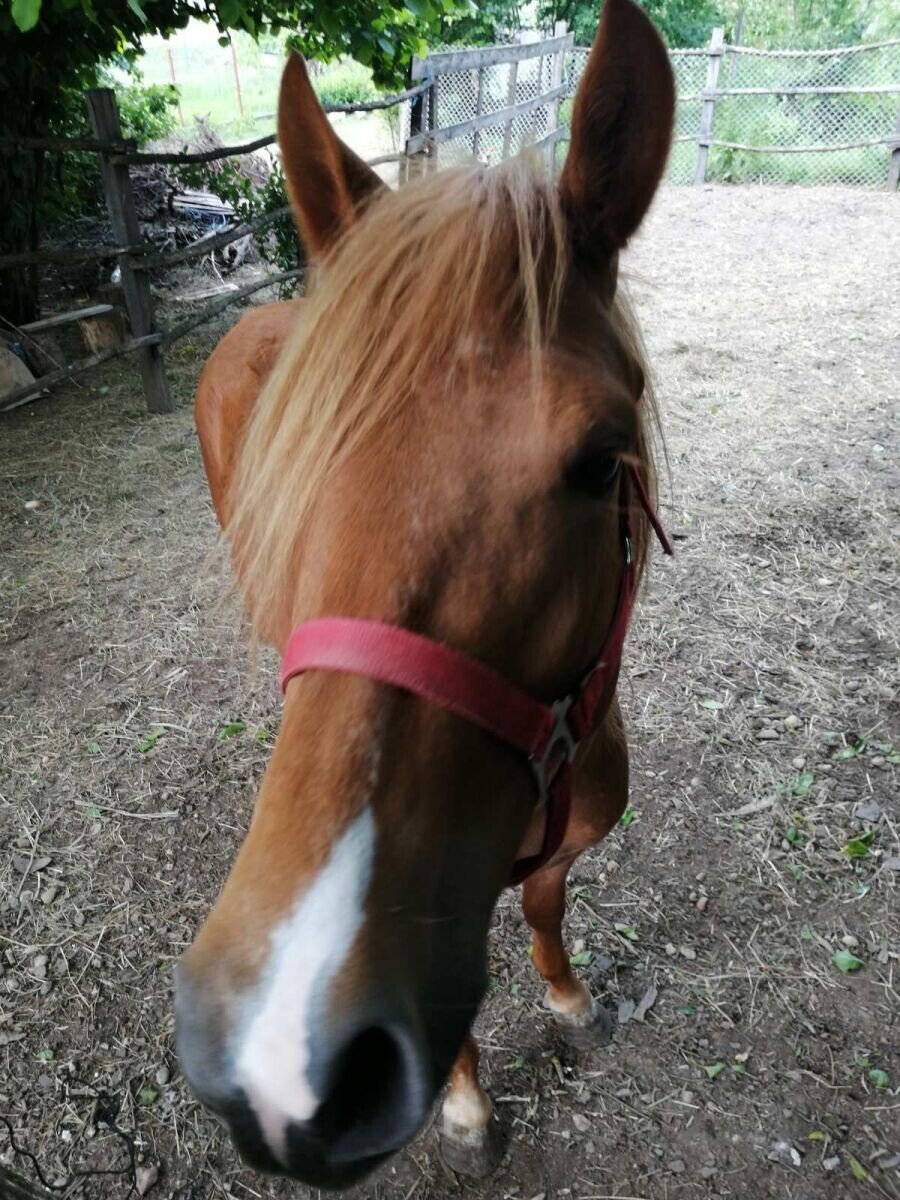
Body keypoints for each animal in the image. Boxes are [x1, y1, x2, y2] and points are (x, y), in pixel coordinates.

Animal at [180, 0, 676, 1180]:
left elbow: (542, 903)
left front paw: (569, 997)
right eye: (295, 463)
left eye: (603, 460)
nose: (287, 1053)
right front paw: (465, 1104)